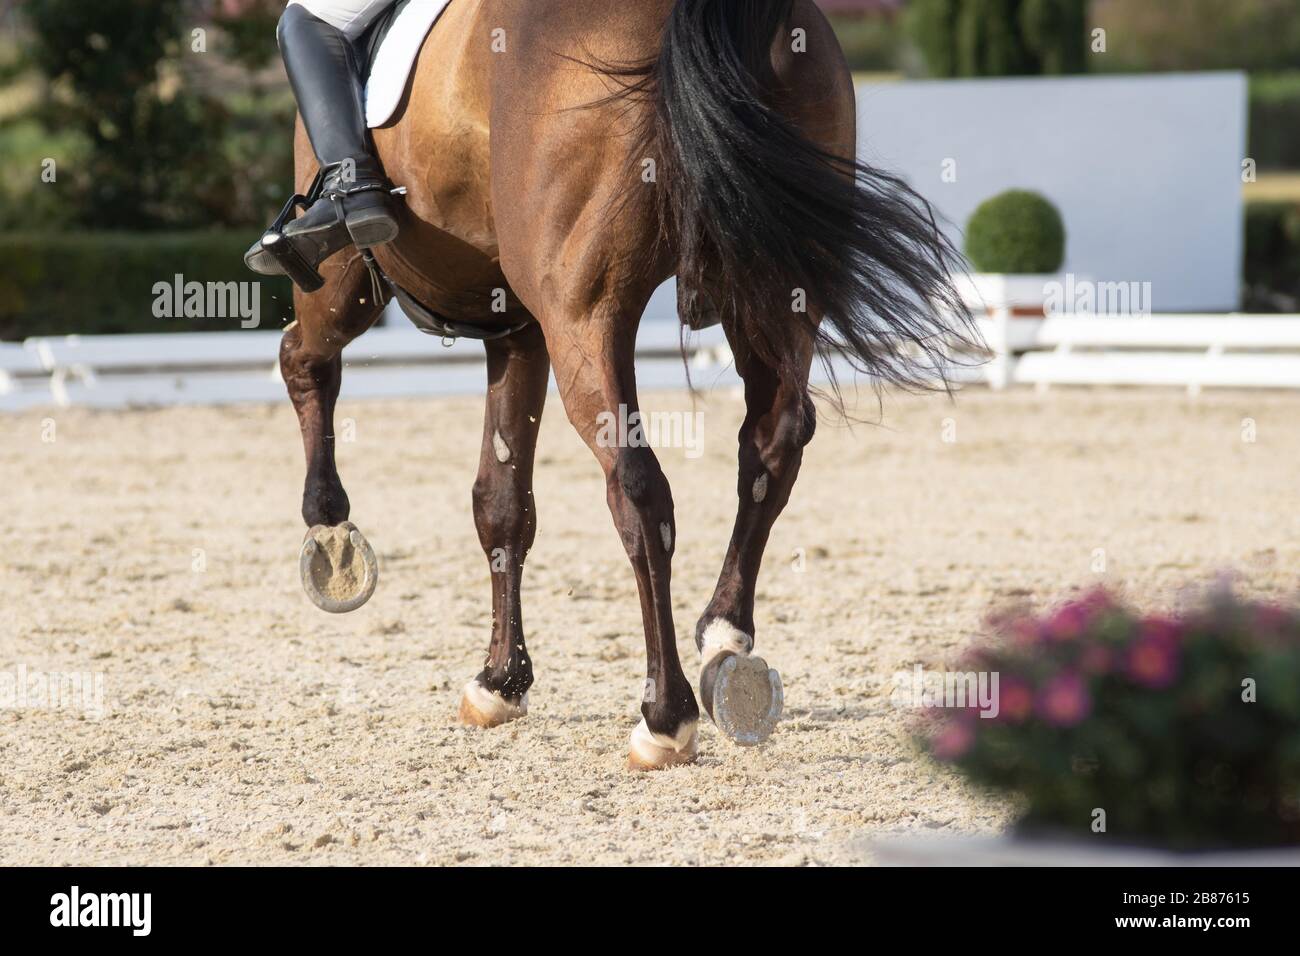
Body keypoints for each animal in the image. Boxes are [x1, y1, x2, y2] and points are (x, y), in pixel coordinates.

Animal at [281, 0, 973, 770]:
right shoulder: (517, 328)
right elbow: (502, 503)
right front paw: (500, 680)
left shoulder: (376, 288)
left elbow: (308, 363)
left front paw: (331, 531)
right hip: (771, 285)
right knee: (771, 445)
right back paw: (725, 643)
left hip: (578, 314)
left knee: (638, 490)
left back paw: (665, 715)